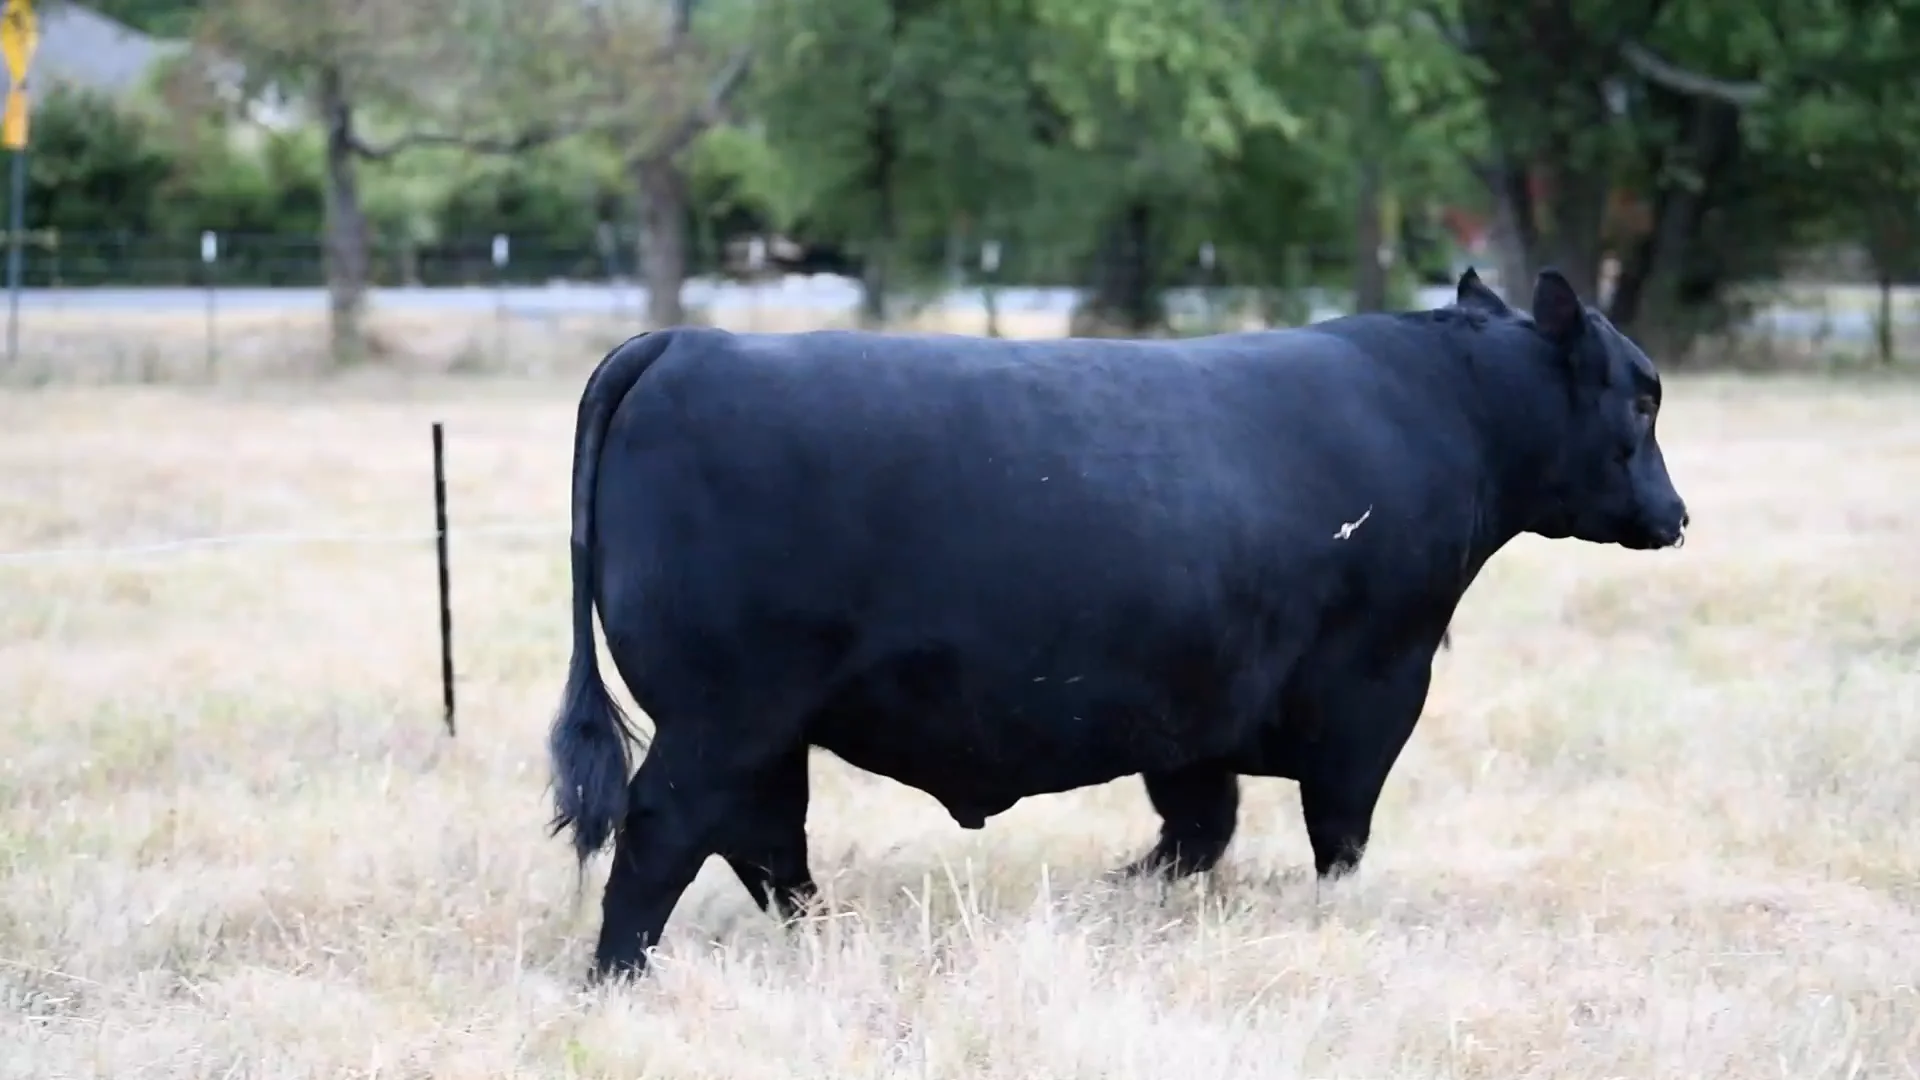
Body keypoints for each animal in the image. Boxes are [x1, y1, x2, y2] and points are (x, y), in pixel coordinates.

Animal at [546, 266, 1689, 981]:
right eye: (1641, 402)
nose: (1674, 515)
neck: (1446, 410)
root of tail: (689, 341)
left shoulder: (1195, 712)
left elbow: (1198, 827)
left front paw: (1118, 895)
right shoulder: (1375, 689)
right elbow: (1337, 834)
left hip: (765, 726)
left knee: (767, 843)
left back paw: (830, 939)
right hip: (724, 713)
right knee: (668, 833)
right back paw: (617, 976)